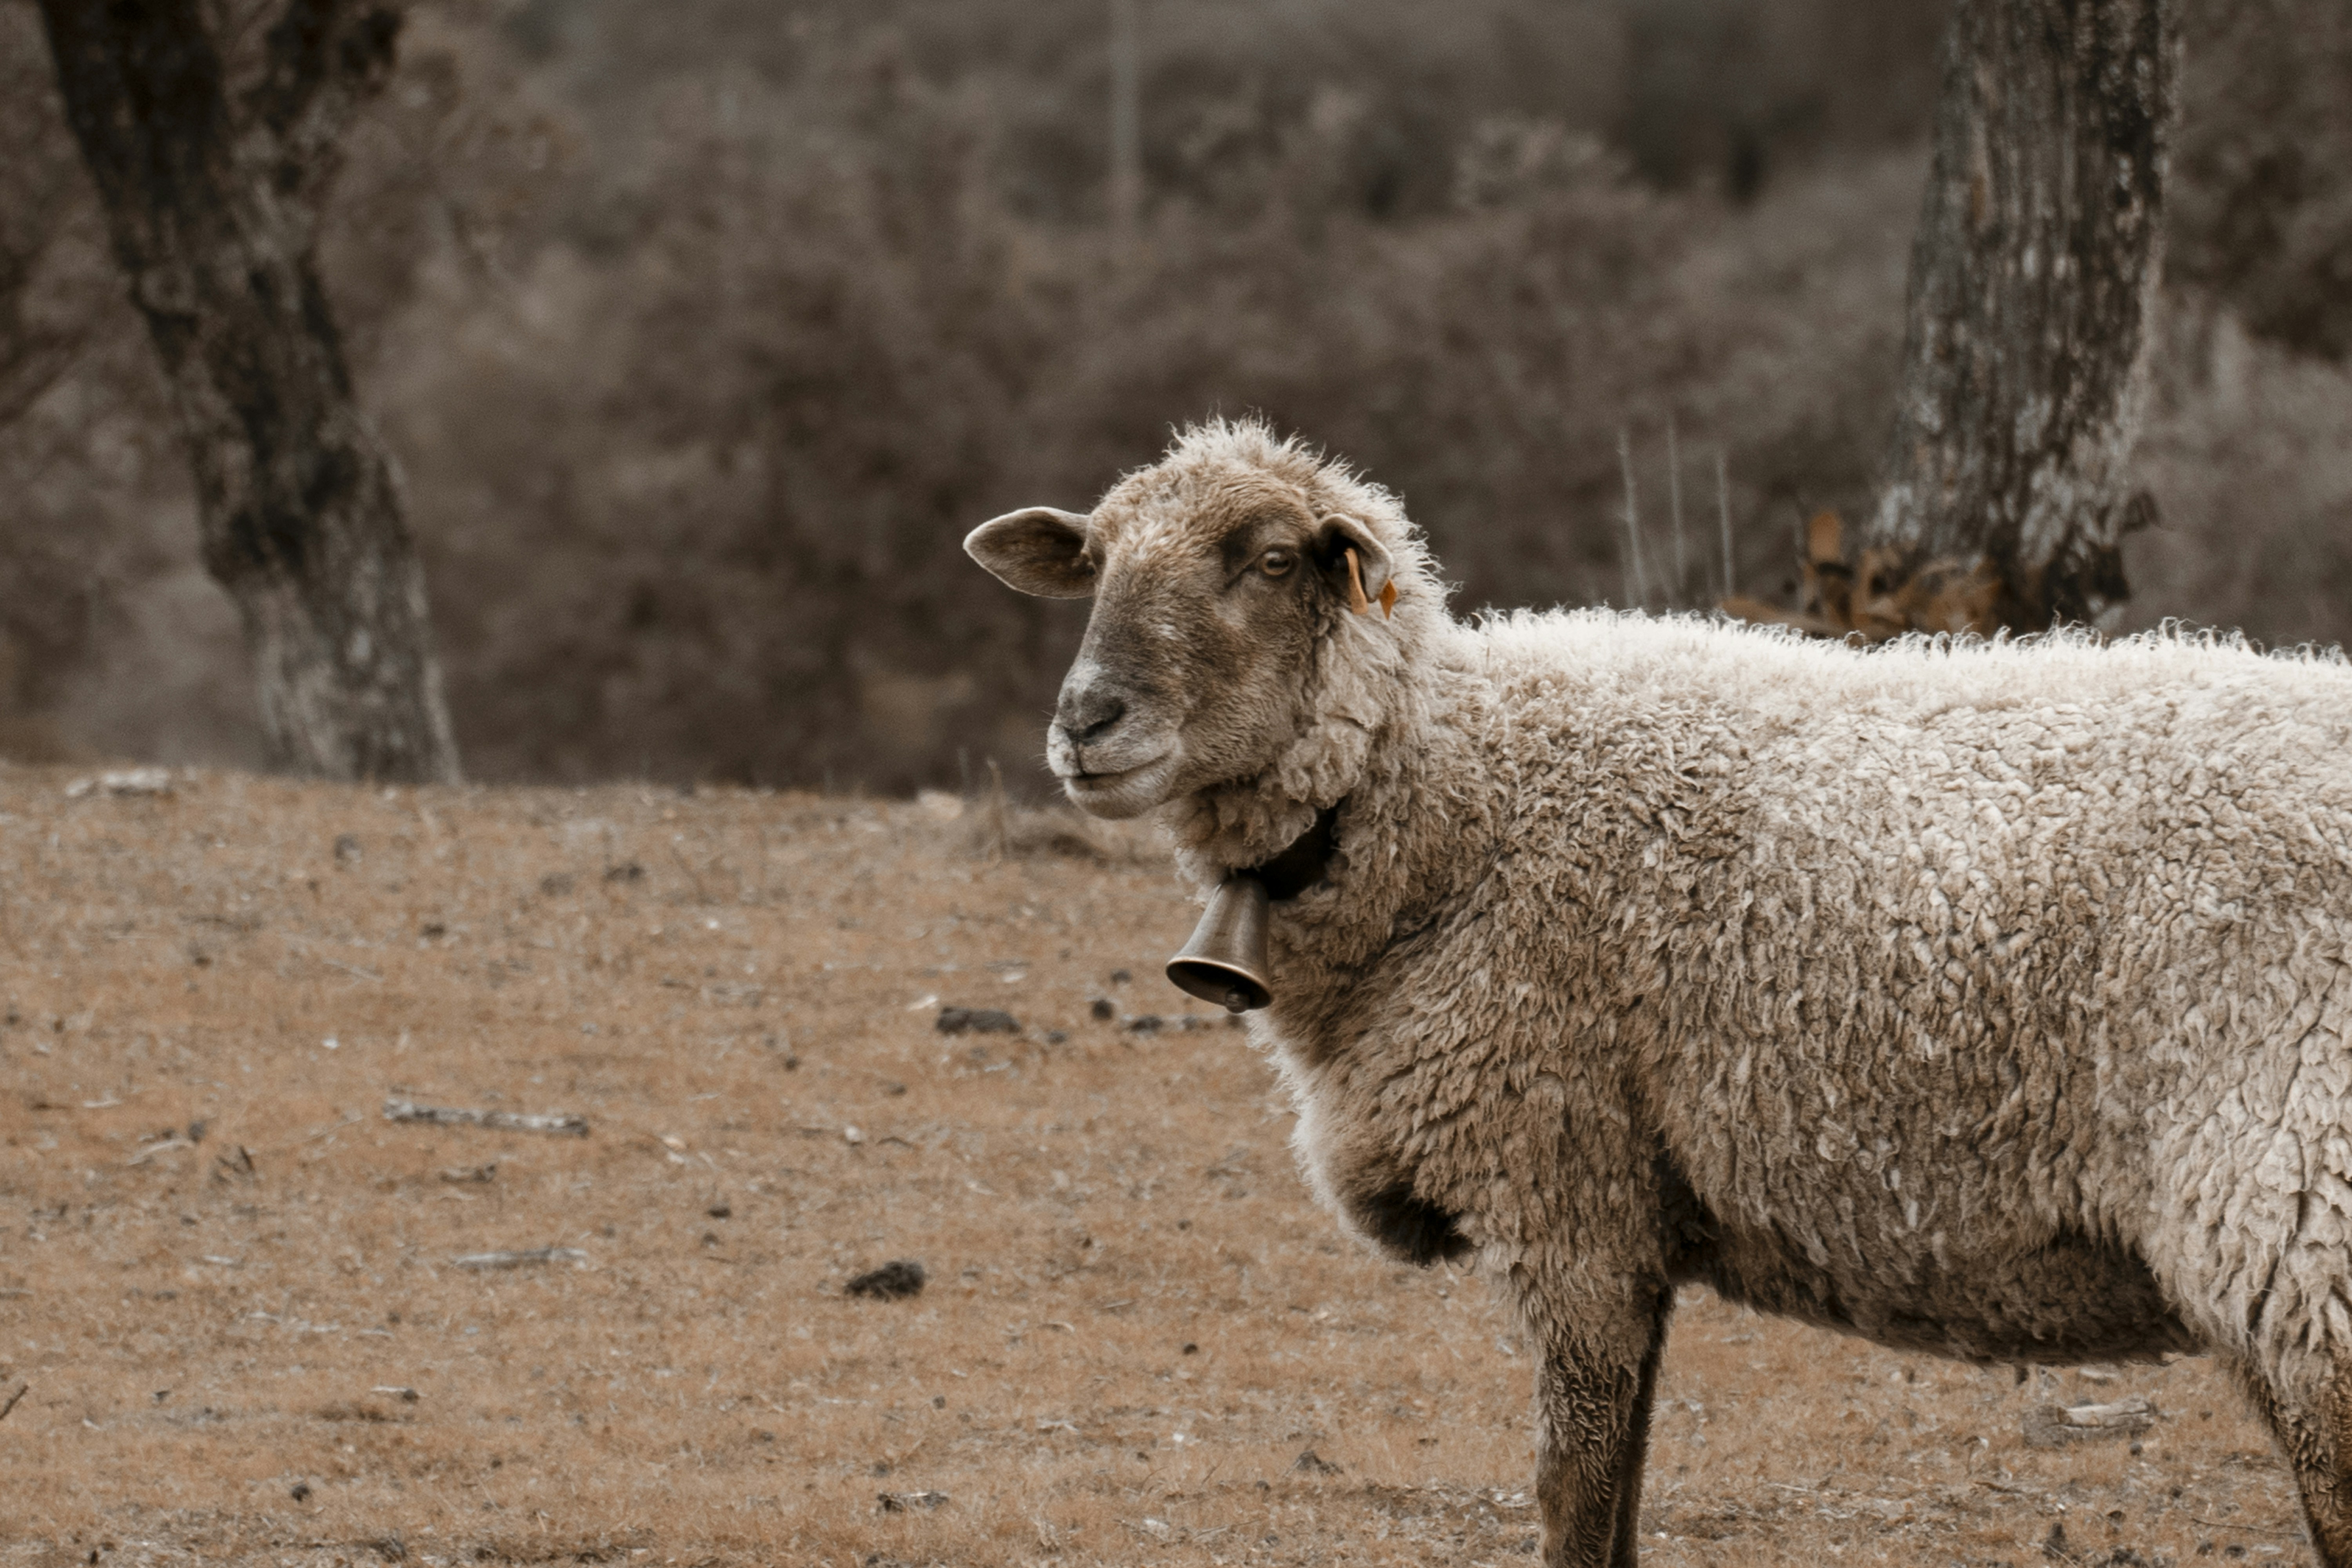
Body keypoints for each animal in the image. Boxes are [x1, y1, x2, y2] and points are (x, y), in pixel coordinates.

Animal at [964, 417, 2352, 1568]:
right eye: (1095, 561)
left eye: (1263, 560)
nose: (1086, 722)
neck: (1456, 790)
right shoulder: (1621, 1215)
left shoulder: (1568, 1192)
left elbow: (1574, 1499)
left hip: (2301, 1221)